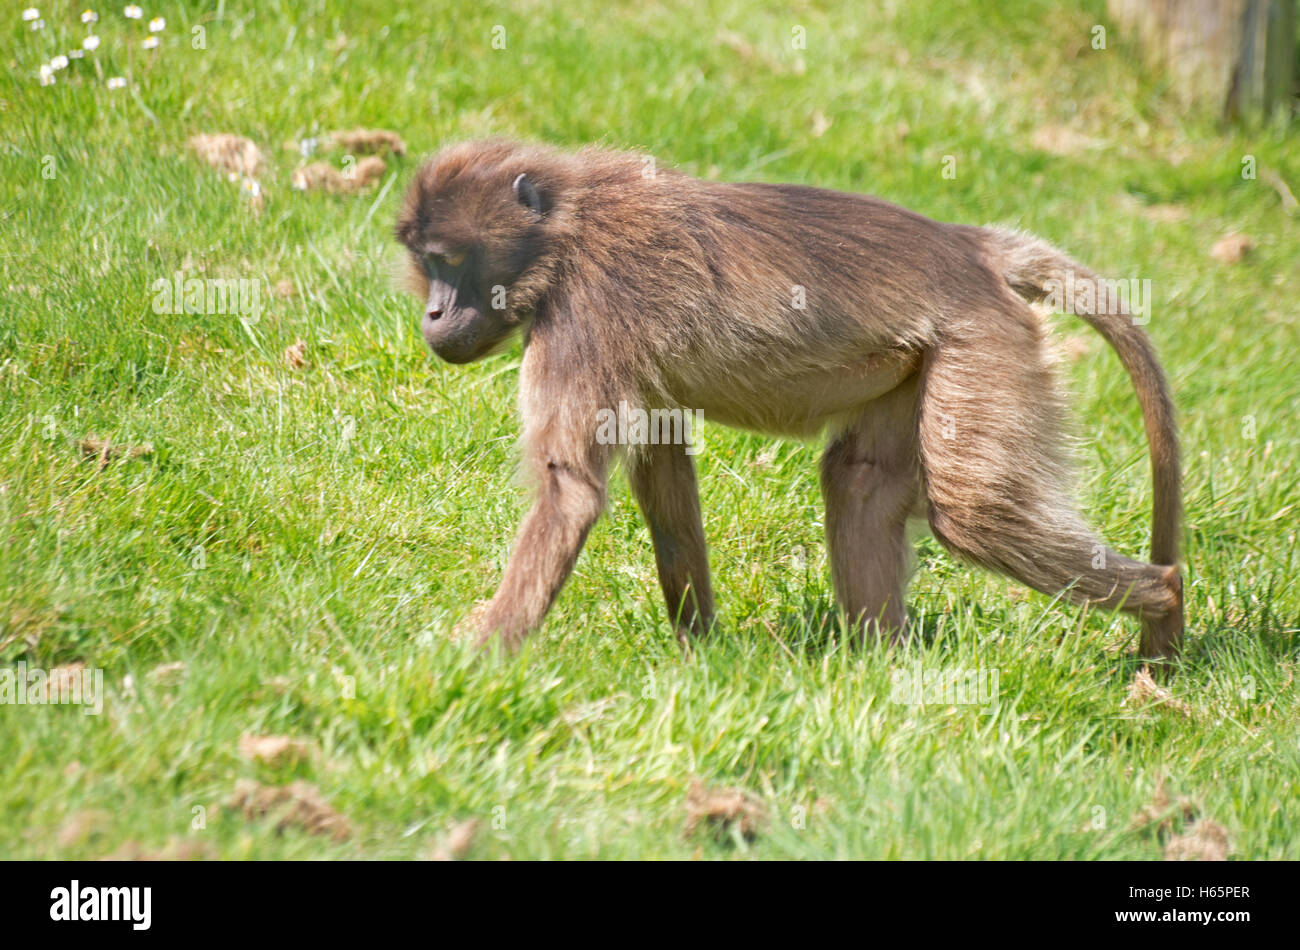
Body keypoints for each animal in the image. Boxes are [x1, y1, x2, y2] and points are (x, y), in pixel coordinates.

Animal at [394, 139, 1183, 664]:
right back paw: (884, 668)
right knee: (860, 483)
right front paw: (699, 650)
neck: (566, 230)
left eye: (450, 262)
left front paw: (464, 659)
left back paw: (1166, 617)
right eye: (428, 264)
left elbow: (570, 492)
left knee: (975, 512)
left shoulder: (584, 311)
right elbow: (662, 465)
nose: (433, 315)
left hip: (979, 344)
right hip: (925, 360)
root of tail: (974, 248)